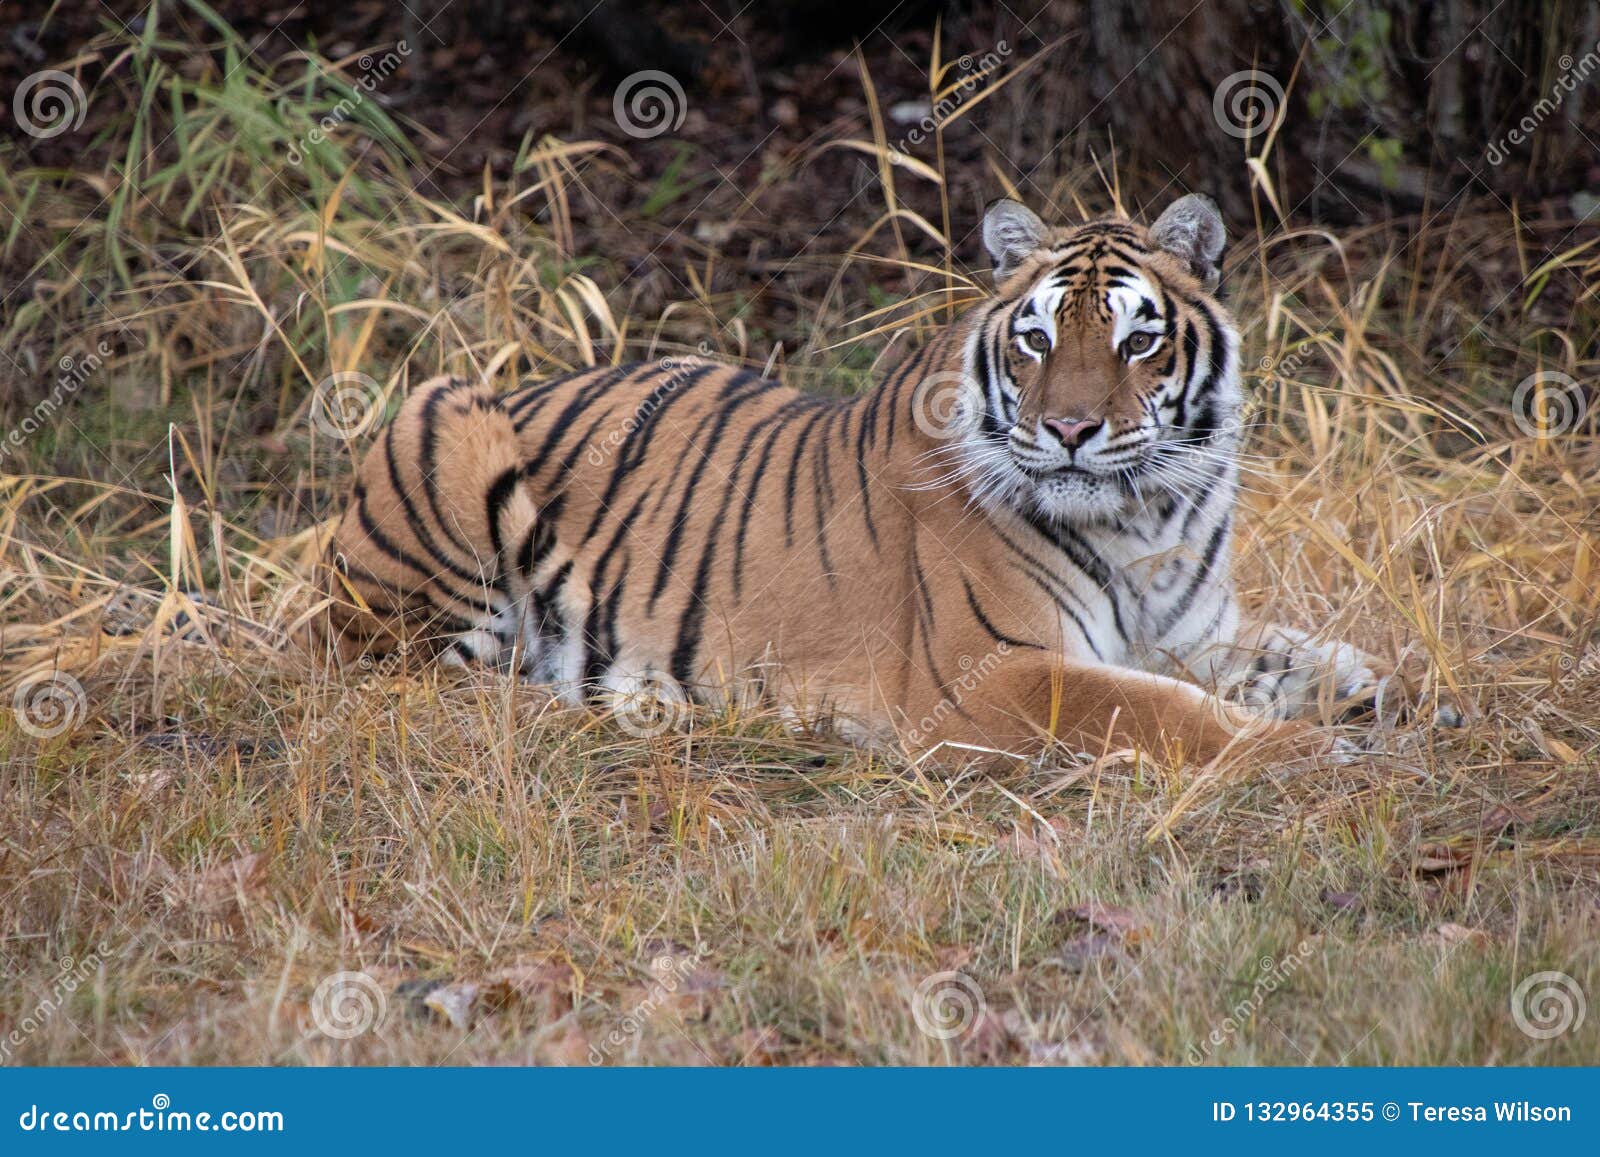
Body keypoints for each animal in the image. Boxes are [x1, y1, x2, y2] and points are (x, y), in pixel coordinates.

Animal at [317, 193, 1452, 763]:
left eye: (1138, 340)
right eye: (1038, 338)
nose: (1070, 430)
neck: (1147, 512)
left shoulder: (1194, 629)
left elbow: (1310, 657)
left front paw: (1399, 696)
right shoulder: (989, 675)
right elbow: (1164, 711)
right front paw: (1306, 755)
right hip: (442, 419)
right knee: (426, 680)